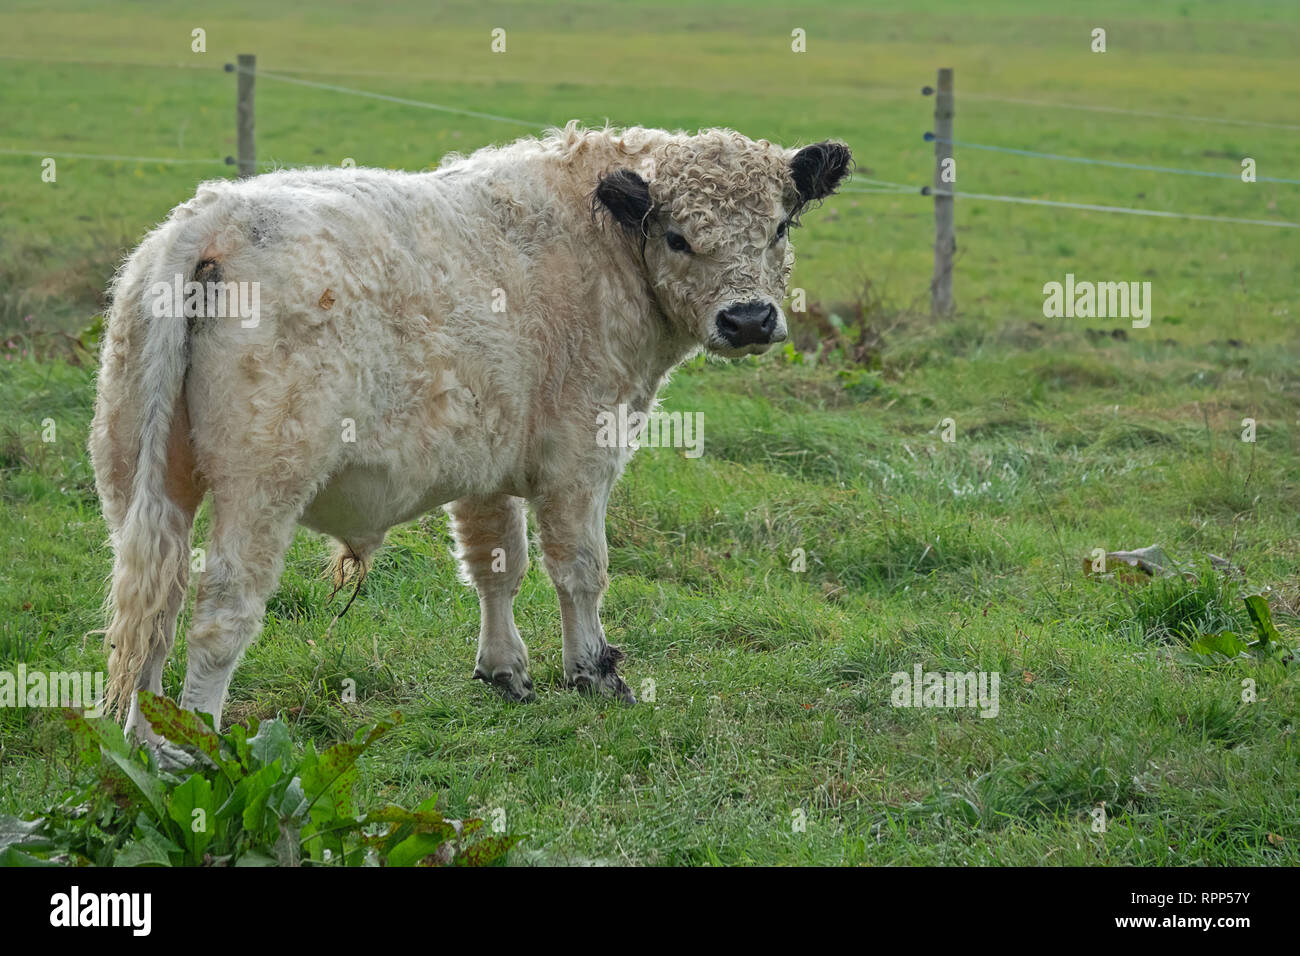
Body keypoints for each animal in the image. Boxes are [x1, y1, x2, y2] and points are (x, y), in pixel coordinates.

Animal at [88, 122, 851, 742]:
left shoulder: (486, 462)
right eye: (677, 237)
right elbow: (580, 569)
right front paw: (593, 671)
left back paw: (142, 744)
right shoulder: (581, 456)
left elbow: (496, 566)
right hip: (260, 490)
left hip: (139, 482)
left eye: (779, 228)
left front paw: (504, 669)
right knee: (219, 618)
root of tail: (215, 216)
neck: (597, 241)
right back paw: (188, 750)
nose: (748, 319)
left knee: (153, 615)